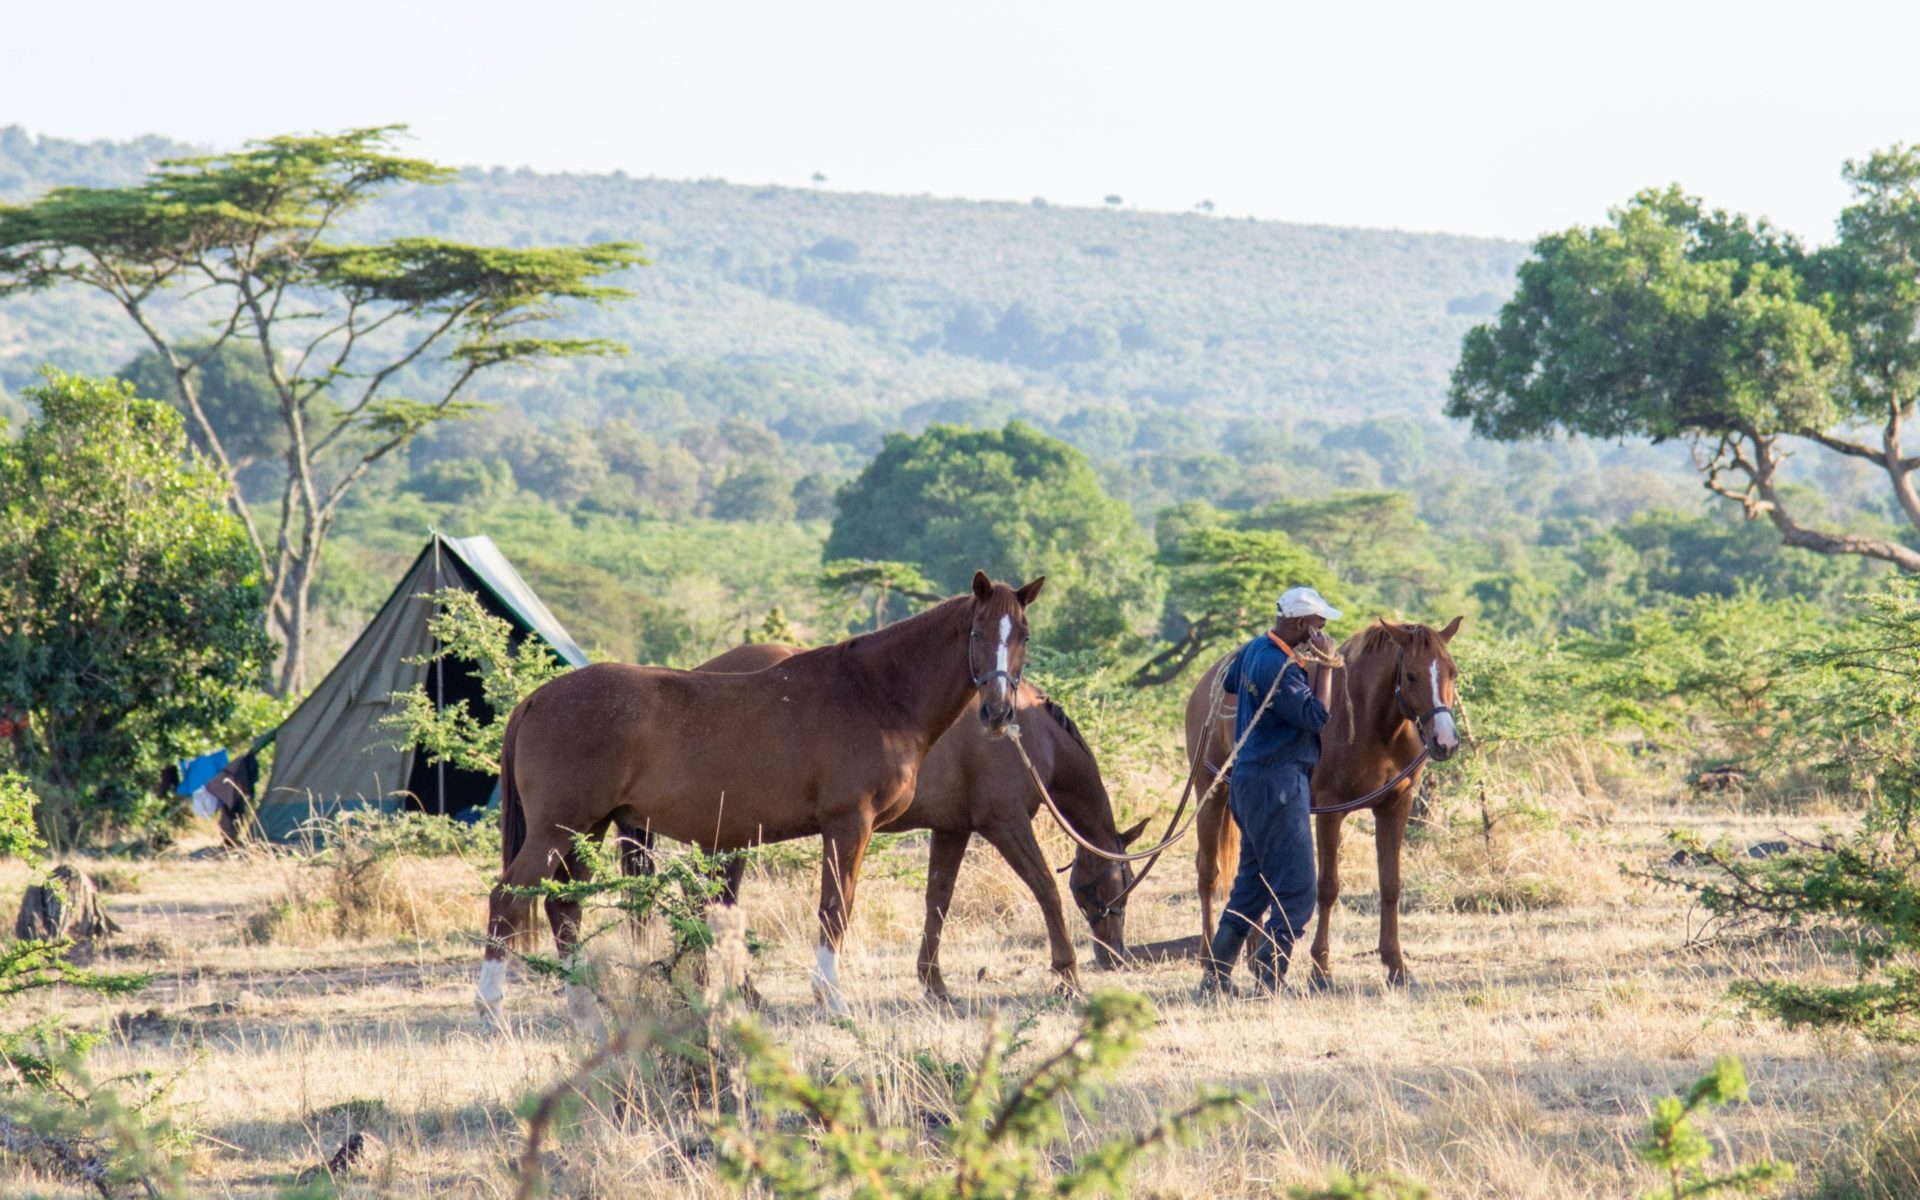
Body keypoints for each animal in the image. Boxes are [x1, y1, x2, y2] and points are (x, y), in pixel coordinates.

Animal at [478, 571, 1045, 1024]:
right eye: (977, 633)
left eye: (1023, 635)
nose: (998, 712)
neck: (874, 693)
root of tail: (537, 699)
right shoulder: (848, 824)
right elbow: (835, 909)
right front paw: (831, 999)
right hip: (556, 830)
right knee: (508, 898)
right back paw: (492, 1008)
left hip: (586, 831)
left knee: (563, 907)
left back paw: (583, 1007)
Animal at [618, 641, 1149, 999]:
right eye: (1116, 887)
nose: (1115, 957)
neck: (1027, 731)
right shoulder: (1005, 824)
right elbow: (1045, 889)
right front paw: (1067, 974)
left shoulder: (952, 829)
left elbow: (938, 901)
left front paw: (934, 983)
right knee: (709, 901)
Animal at [1187, 617, 1461, 987]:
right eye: (1411, 675)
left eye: (1452, 672)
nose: (1445, 741)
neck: (1371, 723)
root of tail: (1207, 682)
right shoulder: (1331, 812)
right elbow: (1328, 887)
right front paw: (1321, 969)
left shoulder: (1395, 807)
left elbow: (1390, 885)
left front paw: (1396, 966)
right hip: (1209, 793)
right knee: (1208, 874)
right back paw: (1208, 958)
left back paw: (1253, 955)